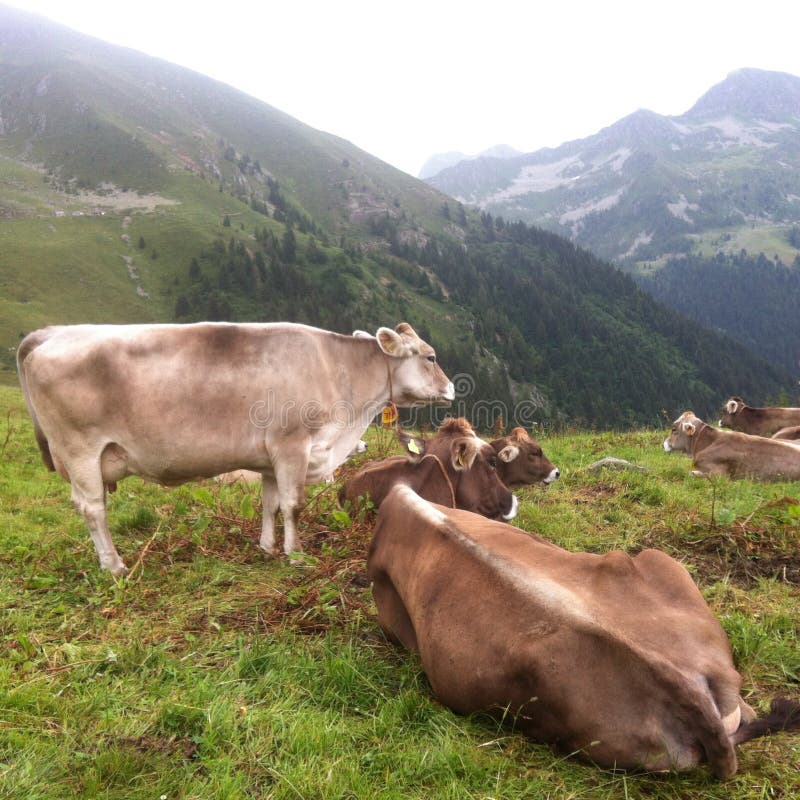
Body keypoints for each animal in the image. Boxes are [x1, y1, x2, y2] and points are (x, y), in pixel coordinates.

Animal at [17, 322, 454, 575]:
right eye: (431, 356)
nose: (452, 388)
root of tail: (52, 332)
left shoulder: (270, 458)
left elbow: (270, 504)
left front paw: (267, 548)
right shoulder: (292, 445)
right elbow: (293, 505)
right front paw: (296, 554)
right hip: (81, 449)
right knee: (93, 509)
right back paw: (114, 566)